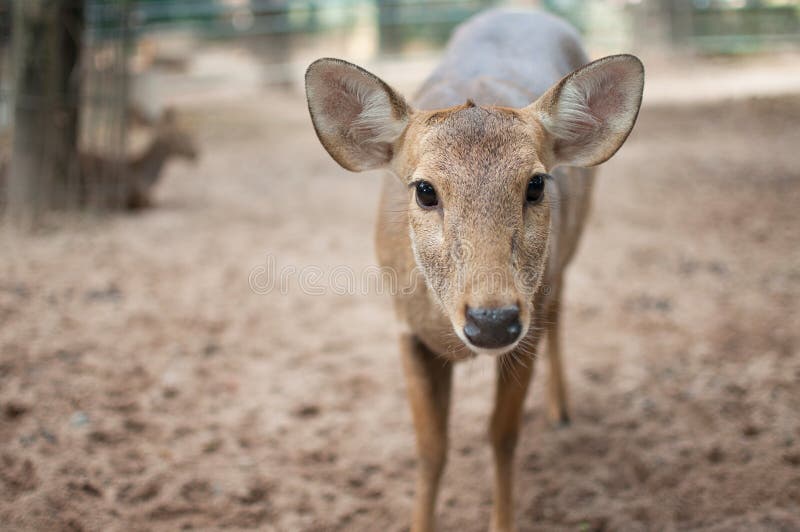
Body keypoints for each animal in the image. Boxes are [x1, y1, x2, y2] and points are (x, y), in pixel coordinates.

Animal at [305, 8, 643, 532]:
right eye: (424, 189)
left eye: (536, 183)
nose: (492, 320)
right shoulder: (405, 328)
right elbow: (431, 449)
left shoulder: (528, 326)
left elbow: (502, 437)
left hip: (562, 259)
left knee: (561, 310)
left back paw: (561, 410)